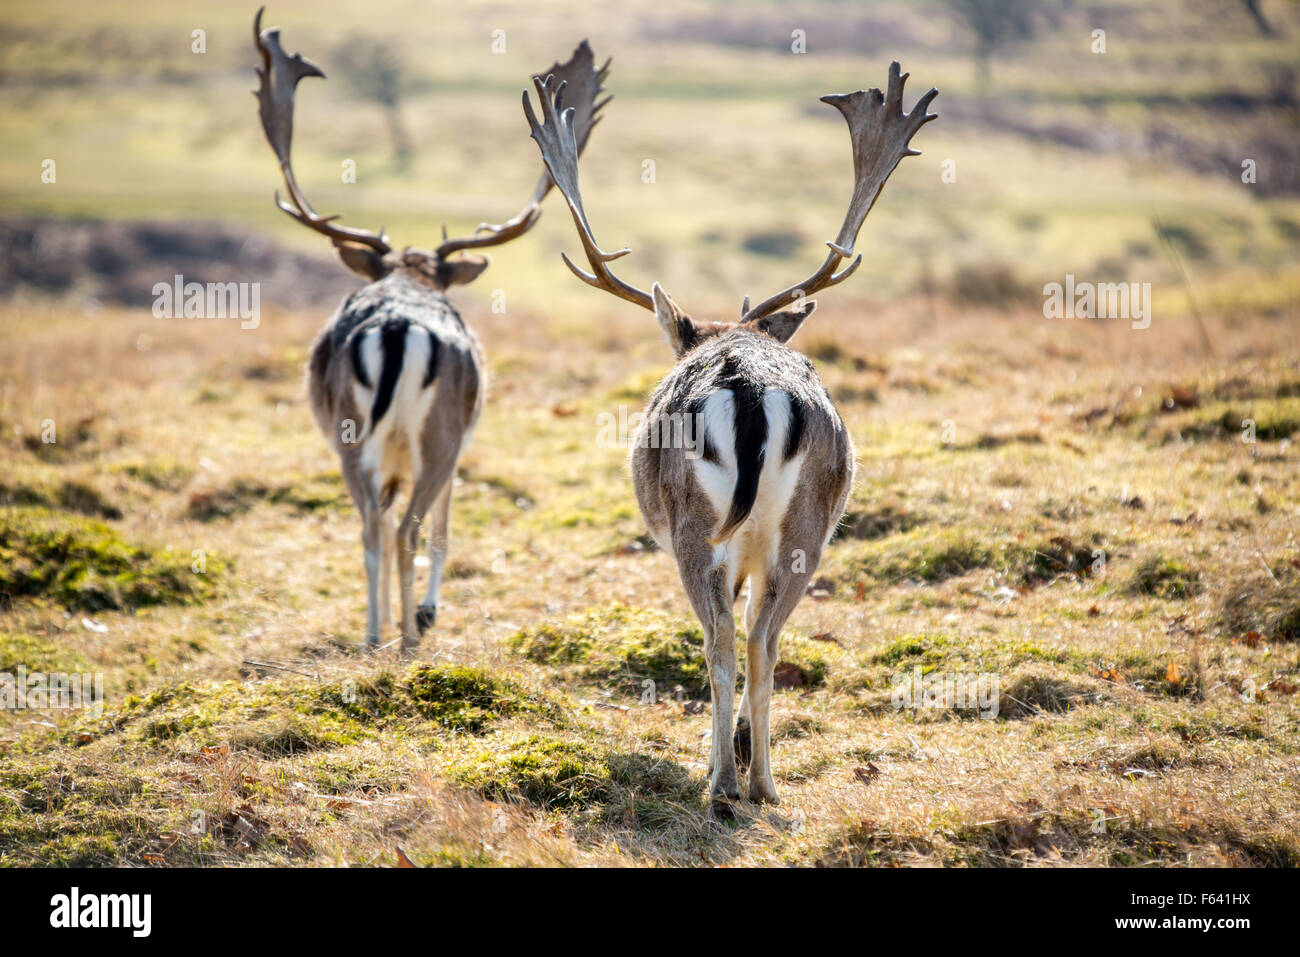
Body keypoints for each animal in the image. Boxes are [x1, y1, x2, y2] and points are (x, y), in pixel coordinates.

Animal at [252, 8, 609, 653]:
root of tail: (397, 329)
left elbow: (385, 516)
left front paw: (396, 618)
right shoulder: (462, 439)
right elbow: (444, 527)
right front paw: (424, 611)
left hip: (349, 435)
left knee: (373, 525)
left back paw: (374, 634)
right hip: (440, 435)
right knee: (410, 527)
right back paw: (409, 636)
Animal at [524, 62, 936, 816]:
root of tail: (748, 385)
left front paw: (724, 759)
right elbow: (756, 626)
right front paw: (745, 750)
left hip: (695, 526)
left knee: (720, 635)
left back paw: (720, 784)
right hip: (808, 525)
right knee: (764, 637)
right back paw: (764, 781)